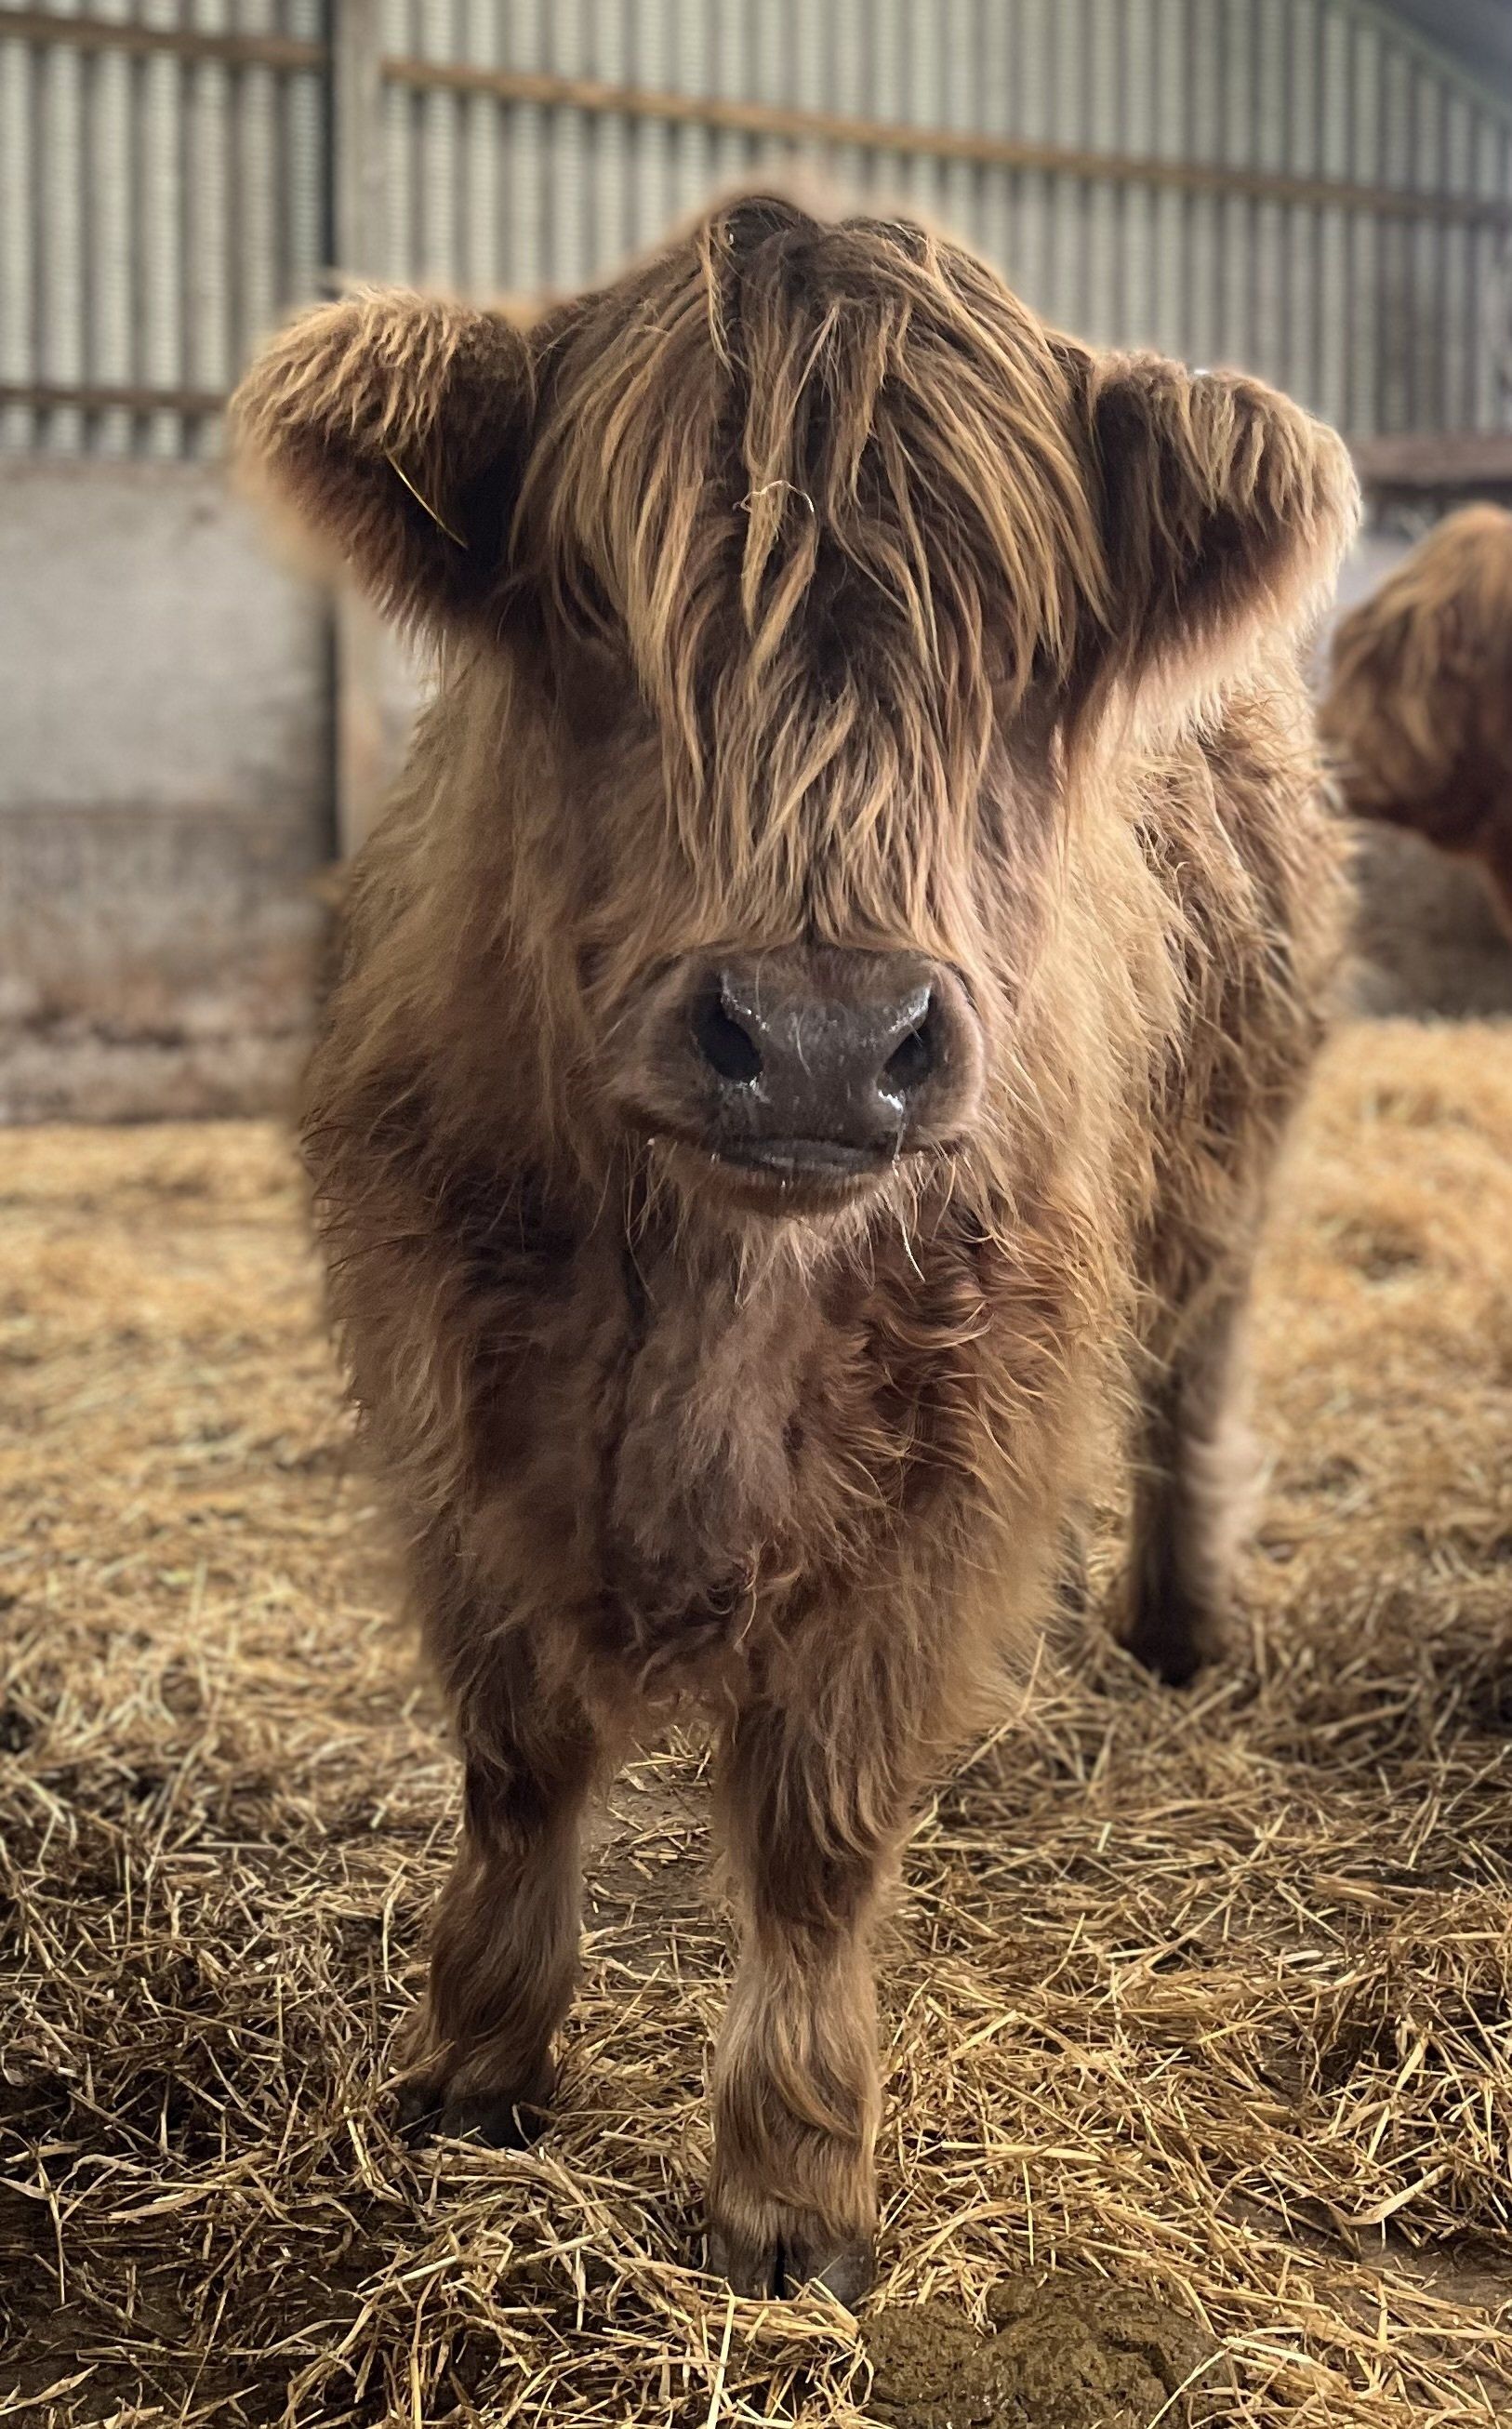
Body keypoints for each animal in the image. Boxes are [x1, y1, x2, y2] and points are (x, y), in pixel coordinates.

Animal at [231, 193, 1356, 2302]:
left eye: (1027, 655)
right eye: (597, 615)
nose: (826, 1033)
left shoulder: (963, 1434)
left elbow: (825, 1820)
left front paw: (790, 2182)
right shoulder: (445, 1384)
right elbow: (516, 1749)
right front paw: (475, 2059)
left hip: (1230, 1167)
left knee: (1194, 1375)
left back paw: (1175, 1624)